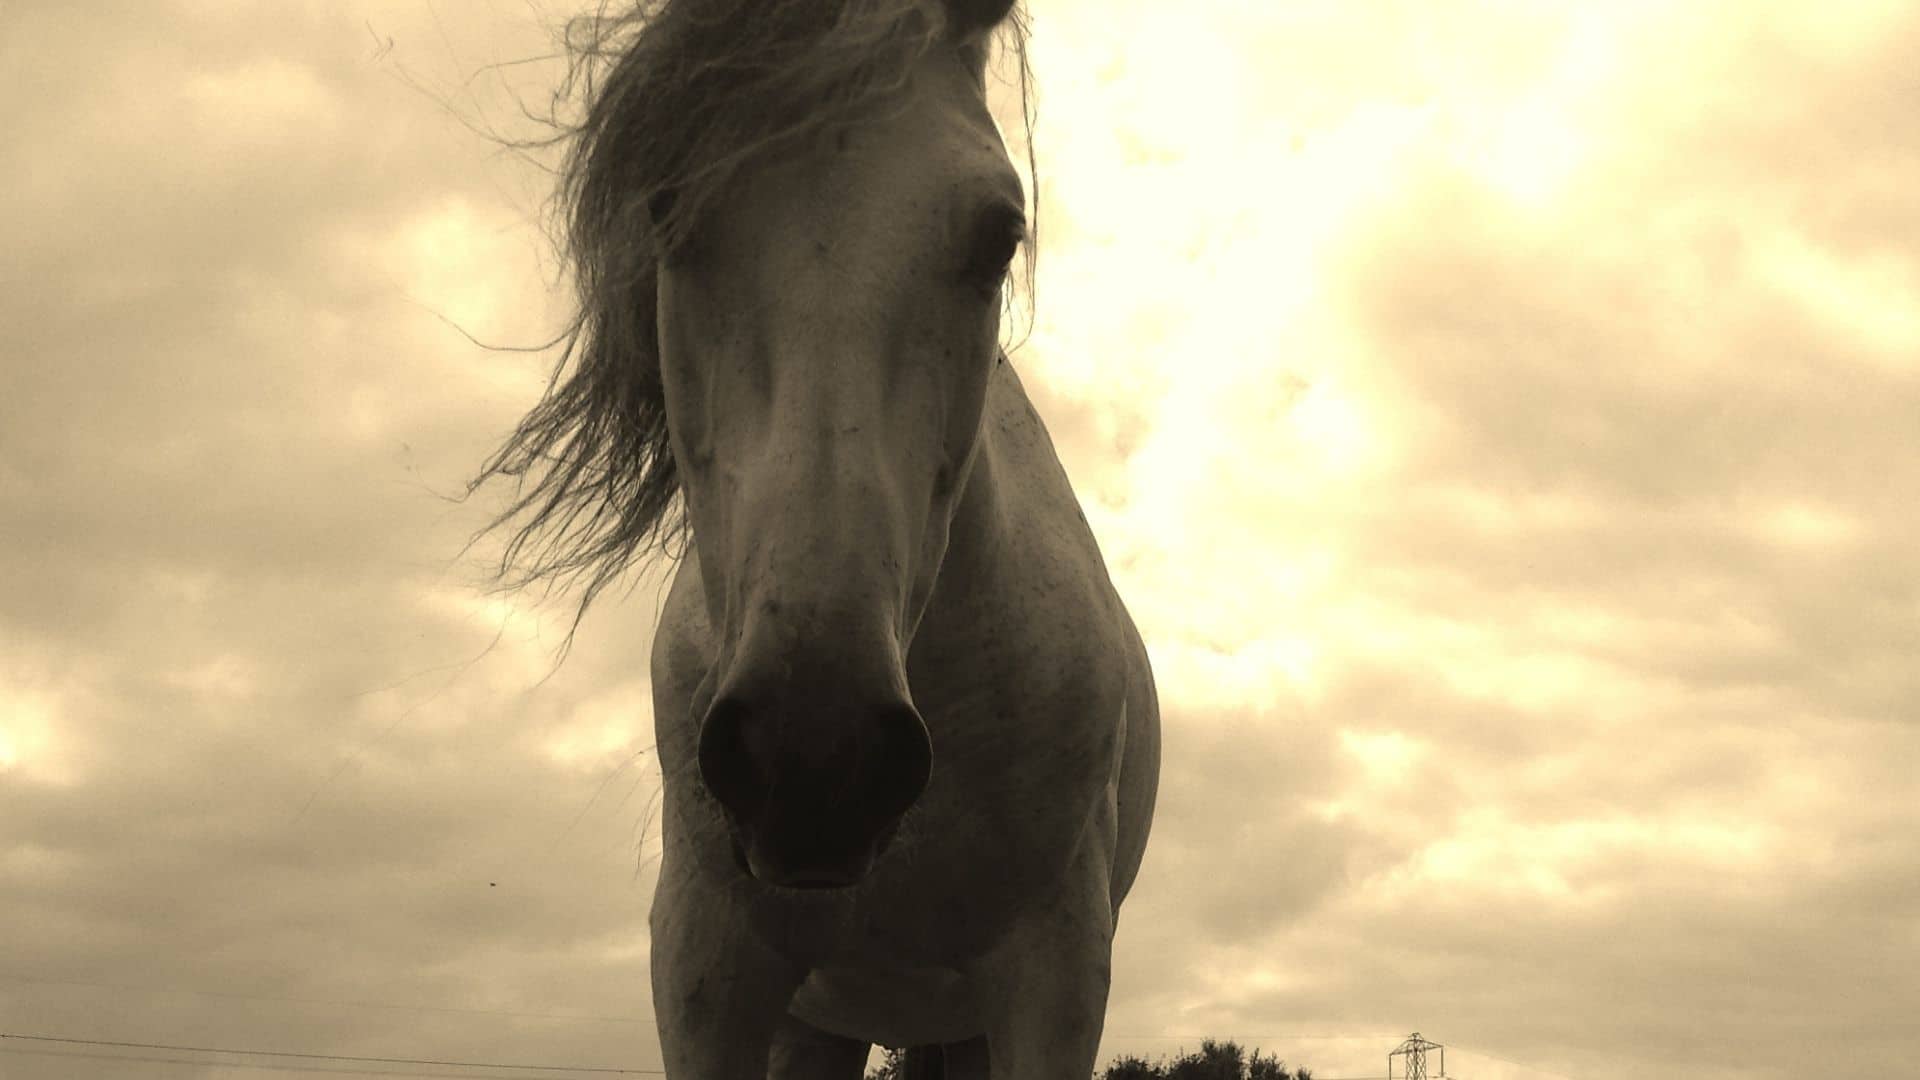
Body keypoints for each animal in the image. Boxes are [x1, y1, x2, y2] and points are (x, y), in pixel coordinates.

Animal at [476, 1, 1160, 1076]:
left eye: (1000, 234)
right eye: (664, 209)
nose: (815, 757)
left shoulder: (1056, 981)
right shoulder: (705, 968)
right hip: (821, 1022)